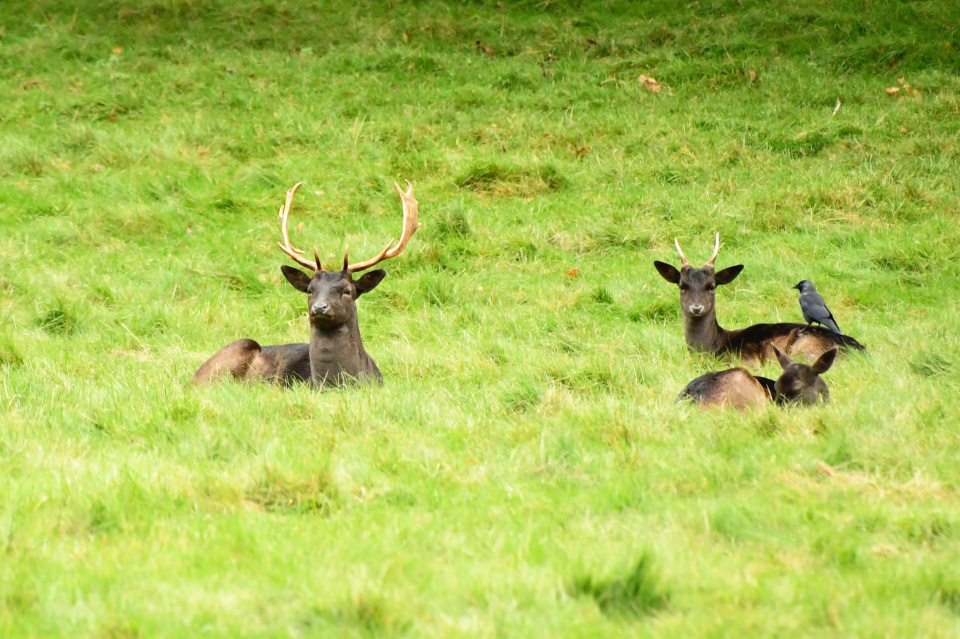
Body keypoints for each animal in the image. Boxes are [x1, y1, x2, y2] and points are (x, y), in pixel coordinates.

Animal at [653, 234, 864, 366]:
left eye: (711, 286)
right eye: (682, 286)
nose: (696, 307)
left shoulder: (746, 360)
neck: (715, 346)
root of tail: (862, 353)